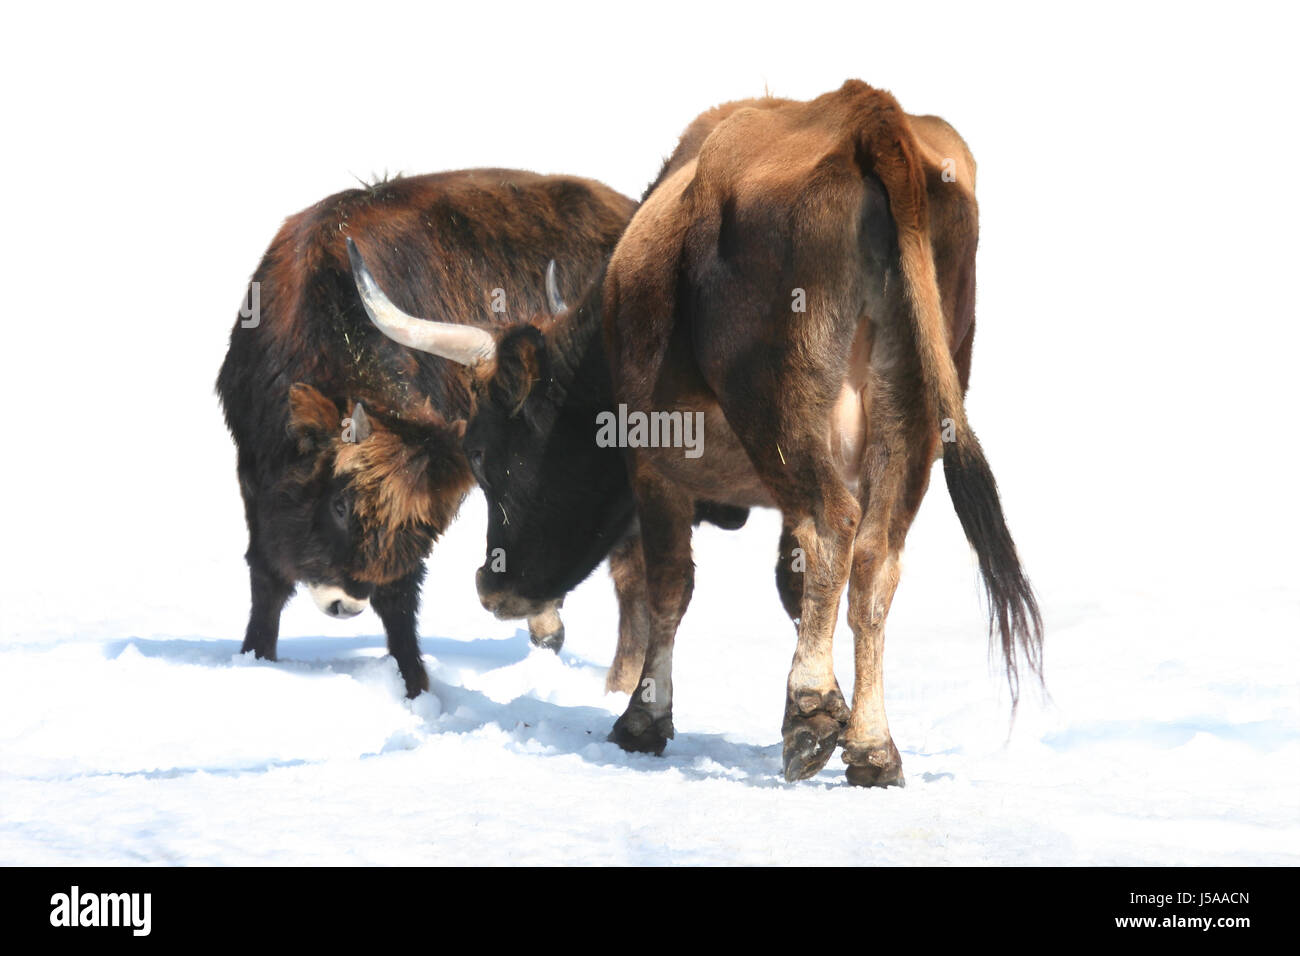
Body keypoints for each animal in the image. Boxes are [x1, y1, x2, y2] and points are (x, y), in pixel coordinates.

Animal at [216, 168, 637, 698]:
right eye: (340, 505)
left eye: (419, 525)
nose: (344, 603)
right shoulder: (253, 468)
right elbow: (266, 576)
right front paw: (256, 657)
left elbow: (399, 596)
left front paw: (415, 687)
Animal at [348, 80, 1043, 786]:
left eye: (483, 453)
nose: (493, 588)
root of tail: (865, 114)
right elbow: (794, 589)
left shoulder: (655, 464)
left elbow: (669, 587)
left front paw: (644, 718)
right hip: (913, 422)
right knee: (875, 557)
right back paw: (872, 747)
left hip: (784, 418)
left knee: (831, 528)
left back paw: (808, 712)